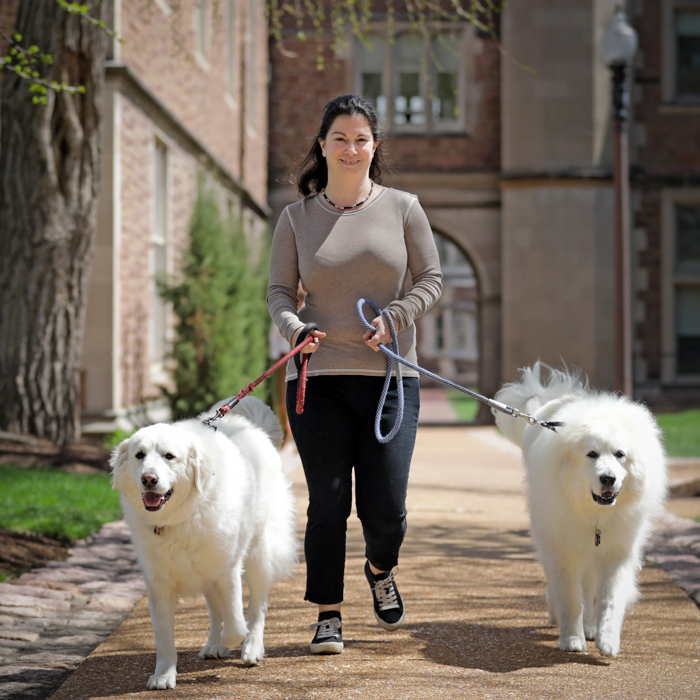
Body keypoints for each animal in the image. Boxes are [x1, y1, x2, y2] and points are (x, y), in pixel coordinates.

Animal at [110, 396, 296, 692]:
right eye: (140, 455)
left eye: (169, 456)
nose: (149, 479)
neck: (182, 516)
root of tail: (249, 426)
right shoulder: (159, 584)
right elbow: (164, 638)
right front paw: (163, 675)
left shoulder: (227, 569)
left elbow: (236, 624)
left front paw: (235, 640)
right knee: (215, 611)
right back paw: (214, 645)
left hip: (259, 555)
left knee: (257, 608)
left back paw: (252, 648)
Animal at [492, 364, 668, 660]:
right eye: (592, 454)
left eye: (620, 454)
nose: (608, 478)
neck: (594, 514)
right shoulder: (565, 551)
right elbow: (571, 598)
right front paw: (572, 640)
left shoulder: (617, 552)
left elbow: (610, 600)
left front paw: (607, 641)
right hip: (550, 540)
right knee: (557, 584)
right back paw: (560, 617)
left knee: (589, 588)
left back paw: (590, 628)